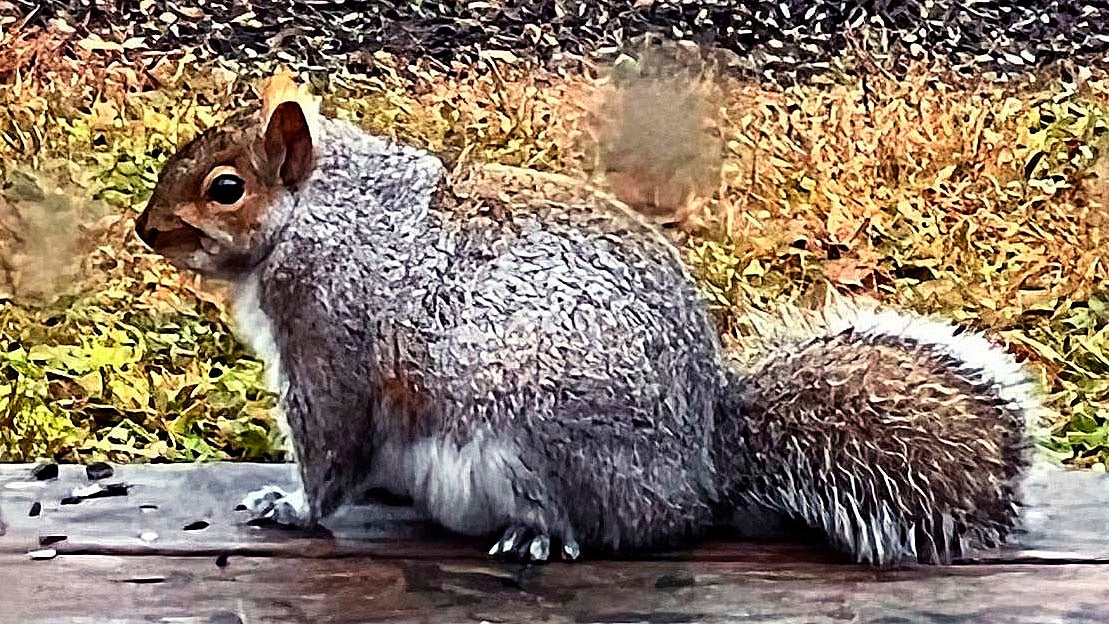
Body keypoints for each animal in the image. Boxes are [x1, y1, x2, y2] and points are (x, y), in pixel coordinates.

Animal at [134, 76, 1042, 566]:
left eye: (225, 188)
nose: (146, 230)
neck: (321, 214)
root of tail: (702, 470)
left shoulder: (331, 343)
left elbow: (330, 453)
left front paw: (289, 507)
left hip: (533, 445)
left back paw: (536, 537)